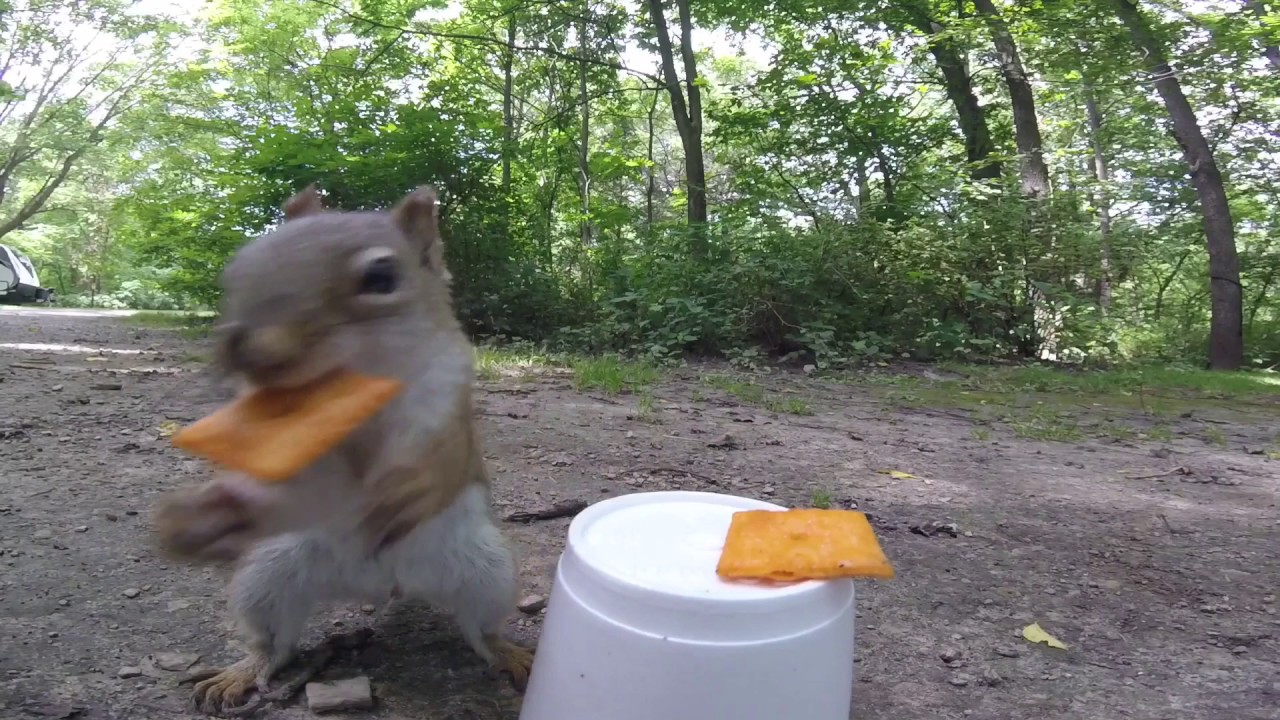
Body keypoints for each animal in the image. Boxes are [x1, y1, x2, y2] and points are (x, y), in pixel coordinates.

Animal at [150, 185, 534, 715]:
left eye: (381, 277)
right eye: (238, 268)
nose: (245, 350)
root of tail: (378, 584)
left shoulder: (449, 411)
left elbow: (441, 462)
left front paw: (408, 490)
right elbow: (294, 489)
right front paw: (206, 515)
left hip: (487, 572)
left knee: (482, 630)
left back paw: (509, 654)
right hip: (266, 576)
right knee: (273, 644)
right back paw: (240, 672)